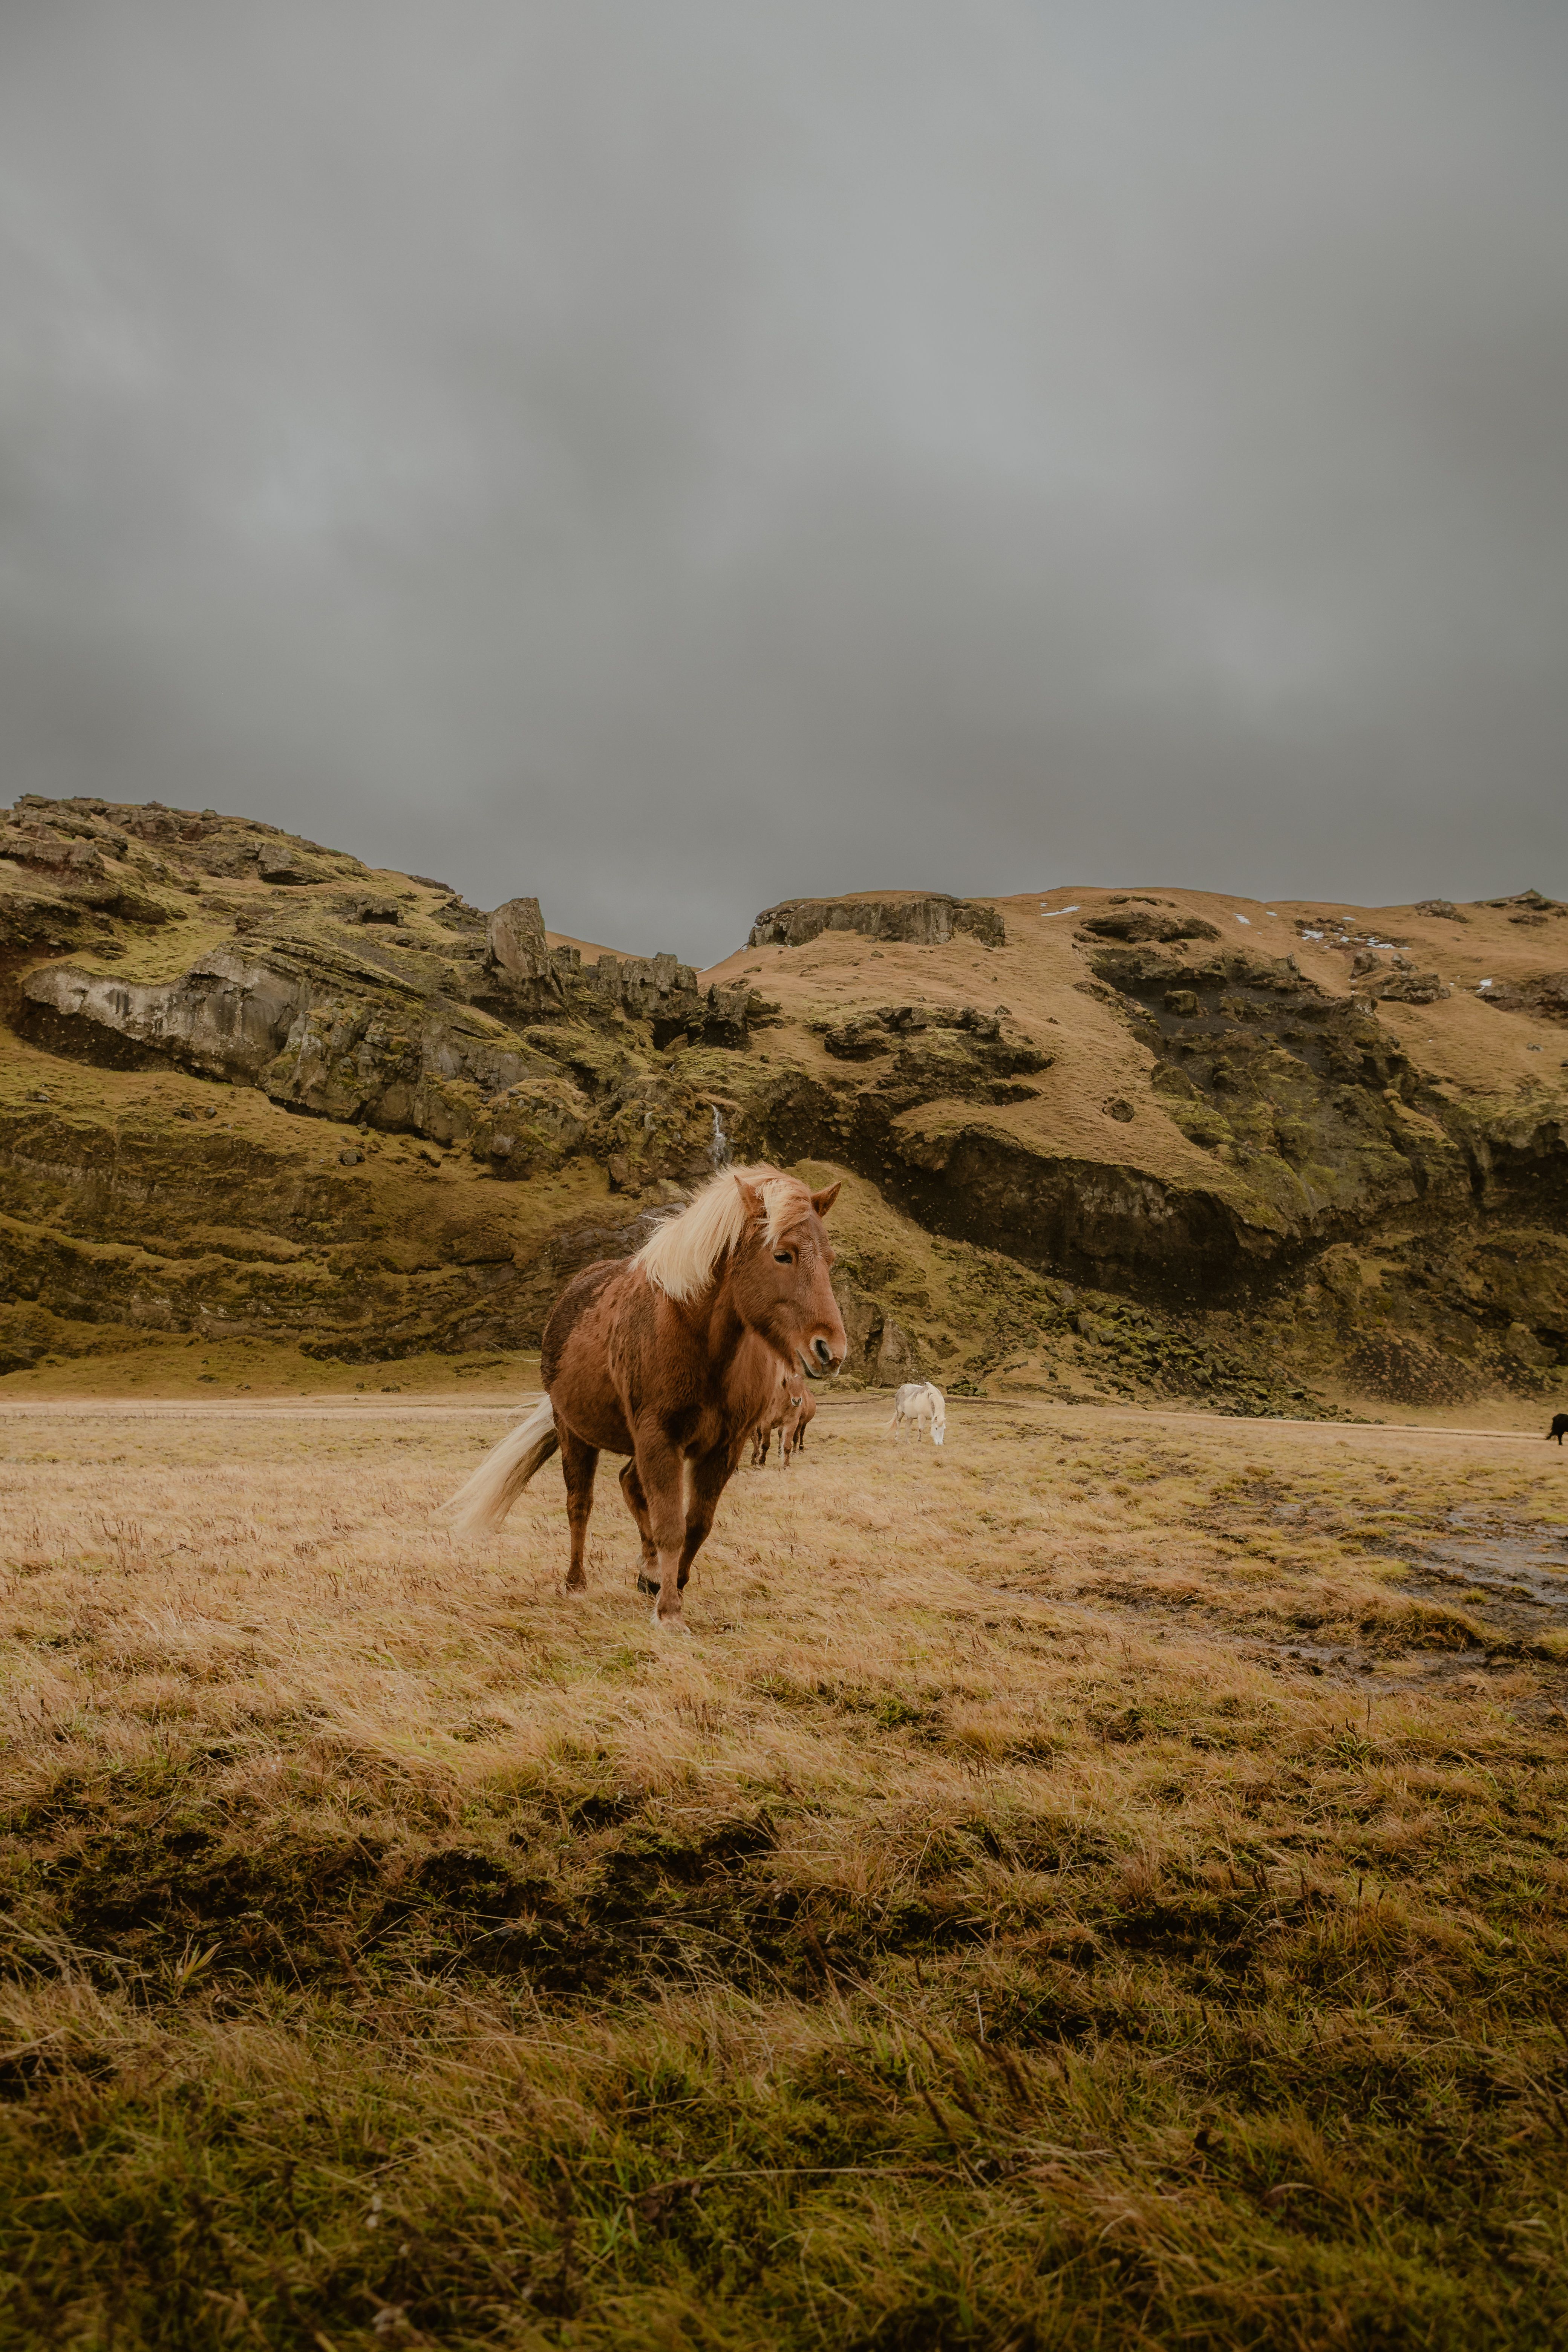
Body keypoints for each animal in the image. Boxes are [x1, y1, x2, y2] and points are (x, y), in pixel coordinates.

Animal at [443, 1164, 846, 1629]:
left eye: (829, 1260)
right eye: (783, 1255)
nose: (831, 1352)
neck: (701, 1343)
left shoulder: (723, 1448)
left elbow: (696, 1525)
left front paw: (672, 1584)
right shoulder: (660, 1438)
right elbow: (671, 1525)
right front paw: (669, 1612)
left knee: (629, 1485)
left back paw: (648, 1570)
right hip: (575, 1434)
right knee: (580, 1505)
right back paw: (577, 1582)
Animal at [888, 1380, 946, 1446]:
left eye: (944, 1429)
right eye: (936, 1428)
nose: (940, 1443)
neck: (928, 1400)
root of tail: (901, 1388)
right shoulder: (922, 1417)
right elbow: (921, 1429)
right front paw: (919, 1440)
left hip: (910, 1417)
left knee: (907, 1427)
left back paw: (907, 1441)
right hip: (900, 1413)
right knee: (898, 1423)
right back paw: (897, 1438)